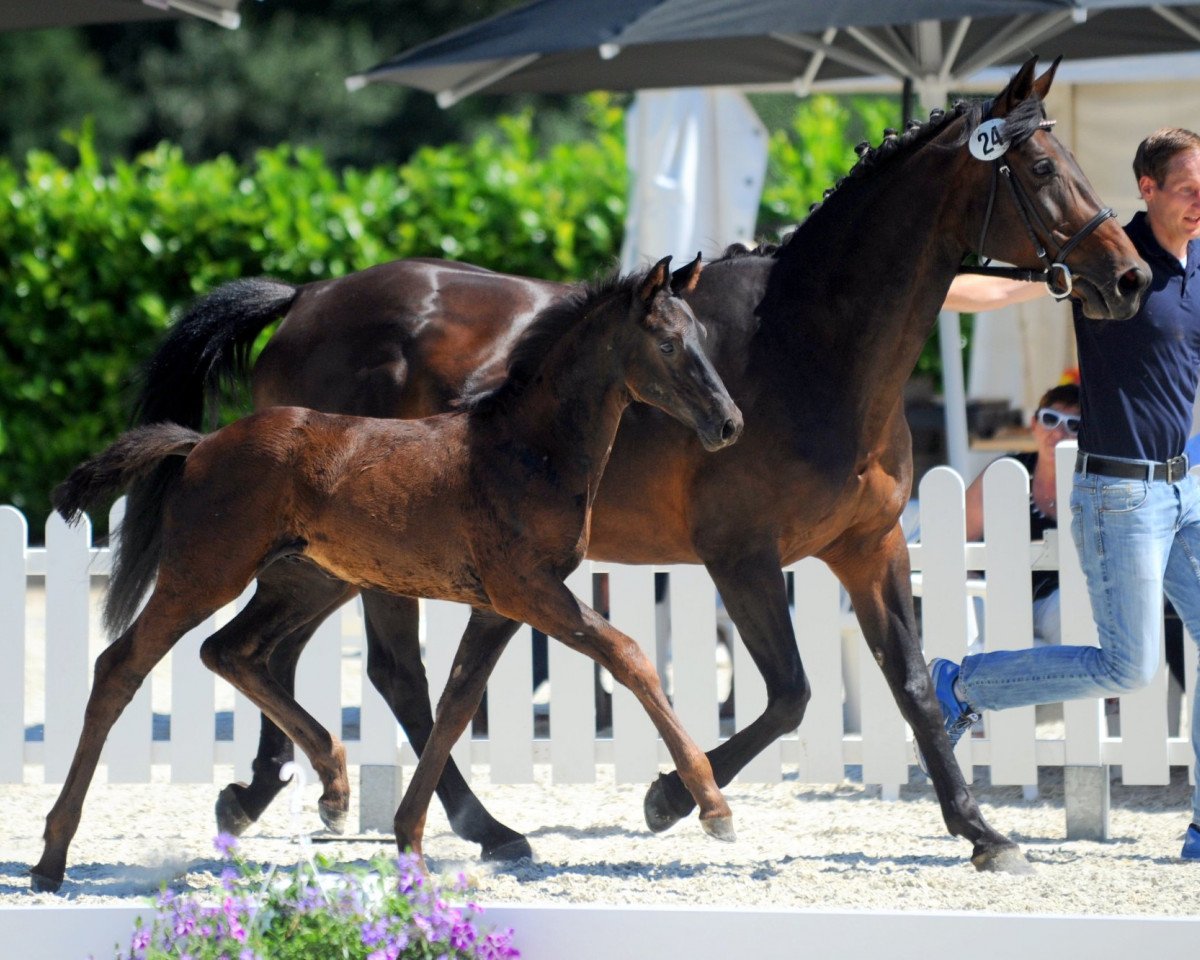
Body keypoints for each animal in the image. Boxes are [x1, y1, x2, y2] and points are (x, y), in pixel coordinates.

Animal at [30, 255, 744, 891]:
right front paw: (711, 807)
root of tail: (201, 443)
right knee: (121, 668)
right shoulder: (532, 590)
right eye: (669, 344)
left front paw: (414, 839)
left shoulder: (498, 605)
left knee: (233, 651)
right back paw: (50, 858)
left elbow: (455, 706)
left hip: (307, 578)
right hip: (204, 574)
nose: (729, 423)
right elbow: (631, 657)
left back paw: (333, 786)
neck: (525, 449)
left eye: (703, 341)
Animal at [130, 58, 1149, 874]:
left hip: (337, 555)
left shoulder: (869, 548)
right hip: (365, 555)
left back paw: (276, 795)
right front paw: (670, 799)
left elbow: (910, 688)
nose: (1131, 276)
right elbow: (789, 696)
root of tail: (306, 298)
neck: (808, 350)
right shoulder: (742, 556)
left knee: (286, 651)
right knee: (384, 673)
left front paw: (983, 832)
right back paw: (462, 821)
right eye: (1042, 169)